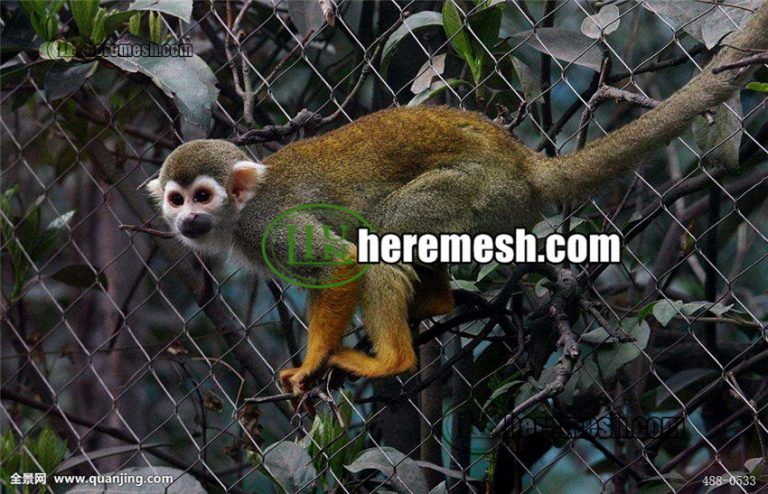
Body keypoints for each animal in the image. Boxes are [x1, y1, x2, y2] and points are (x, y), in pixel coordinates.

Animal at [146, 6, 767, 395]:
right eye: (176, 199)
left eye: (203, 195)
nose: (189, 218)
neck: (238, 214)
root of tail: (526, 167)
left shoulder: (270, 225)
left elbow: (343, 262)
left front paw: (312, 362)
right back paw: (435, 303)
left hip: (476, 193)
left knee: (384, 239)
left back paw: (392, 361)